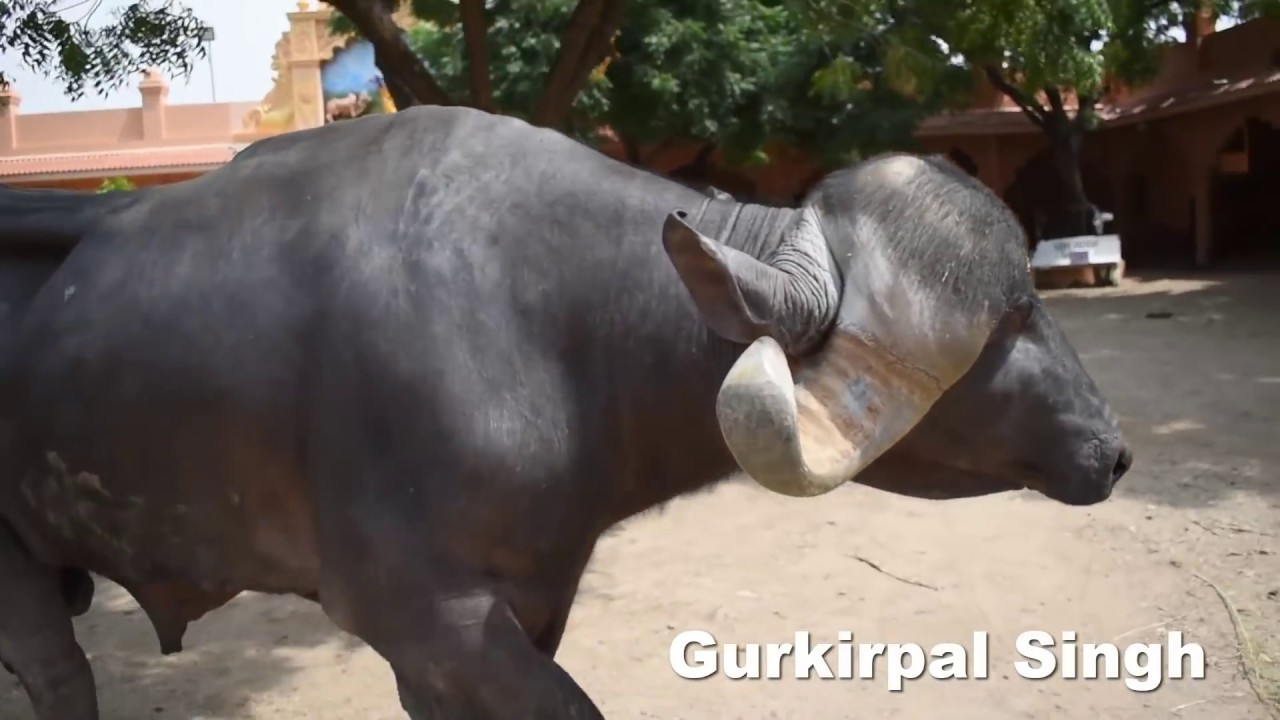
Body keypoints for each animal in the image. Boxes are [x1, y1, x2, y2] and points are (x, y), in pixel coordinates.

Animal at [0, 105, 1132, 719]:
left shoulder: (520, 601)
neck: (558, 331)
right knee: (59, 676)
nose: (1113, 452)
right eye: (1009, 319)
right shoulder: (424, 614)